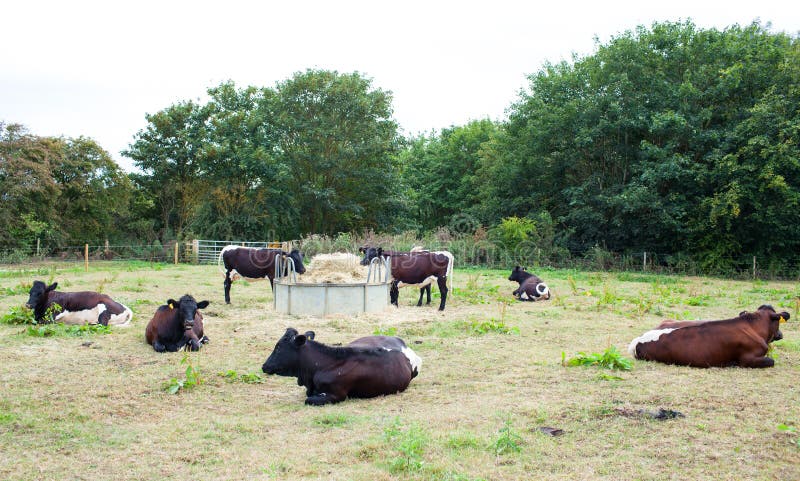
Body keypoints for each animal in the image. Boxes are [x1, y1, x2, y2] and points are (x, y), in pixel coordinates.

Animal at [628, 305, 789, 368]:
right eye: (777, 322)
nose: (780, 334)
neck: (753, 327)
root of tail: (638, 339)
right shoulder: (748, 359)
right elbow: (771, 361)